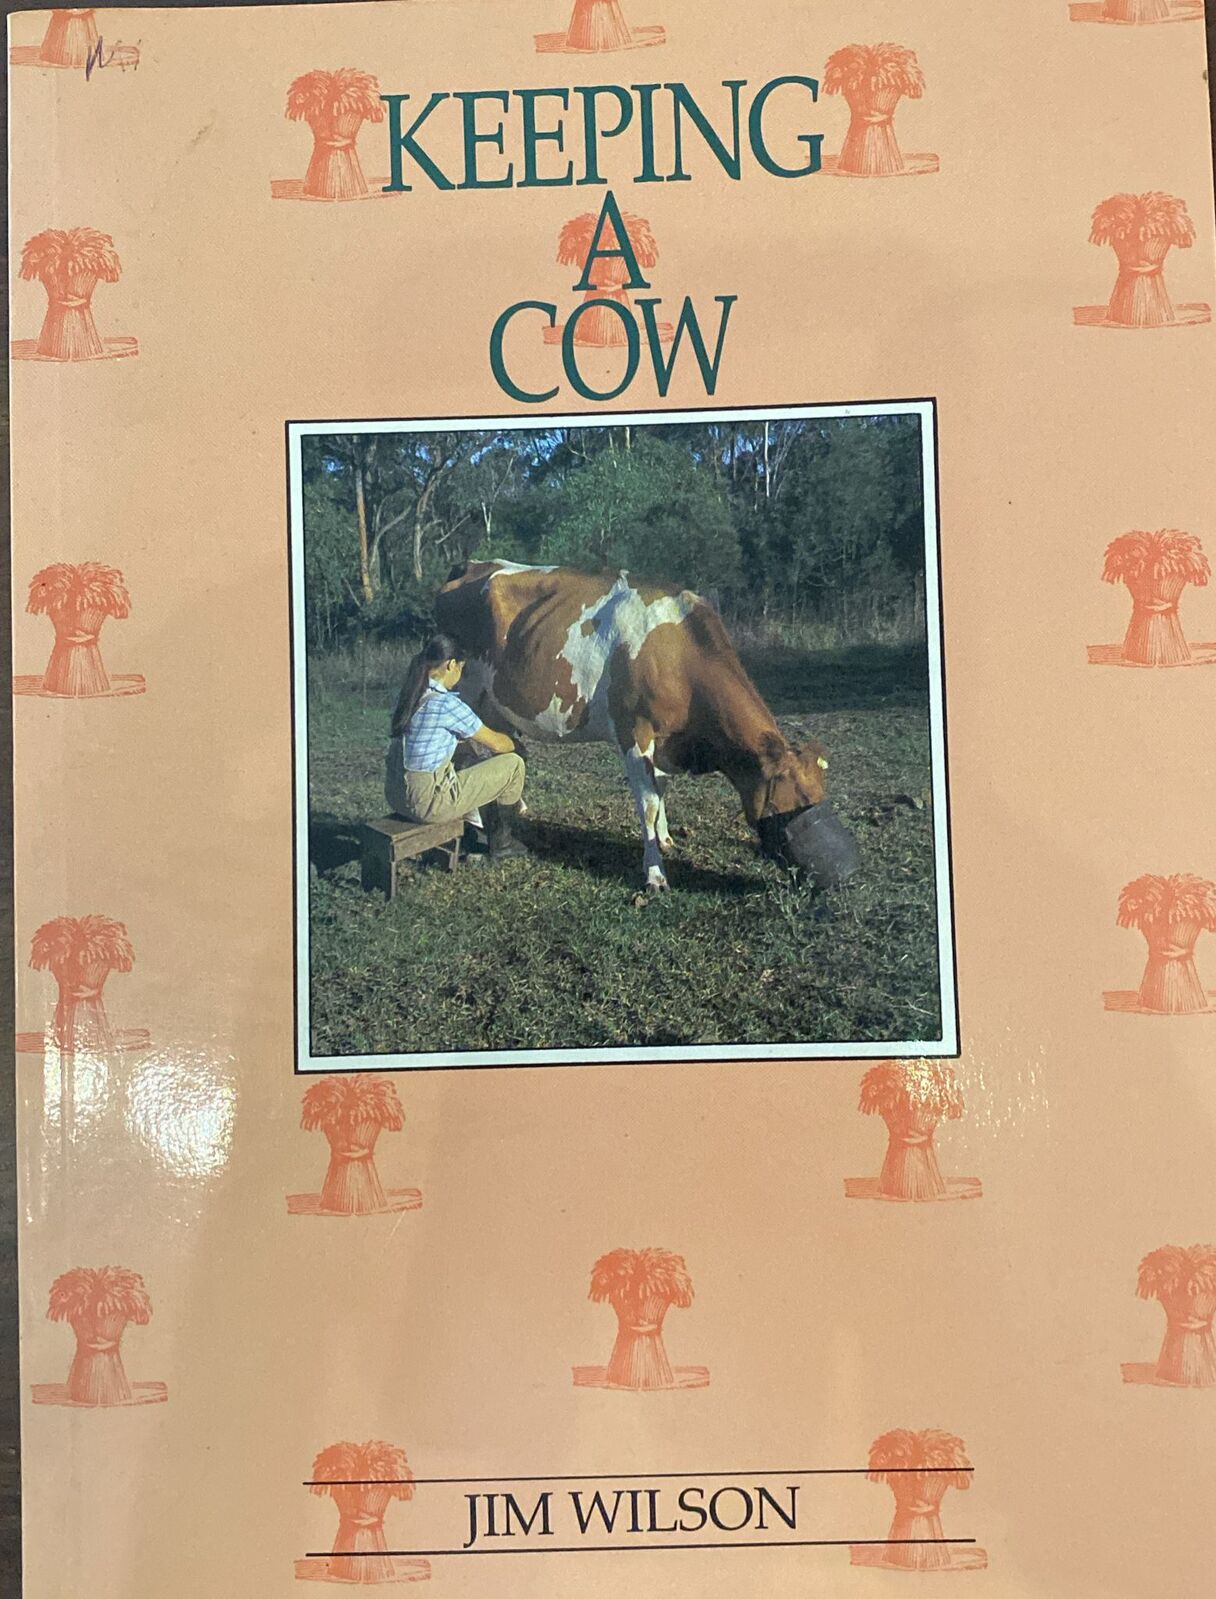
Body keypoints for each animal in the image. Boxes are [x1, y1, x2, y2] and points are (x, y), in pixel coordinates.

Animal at [434, 561, 860, 892]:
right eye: (796, 803)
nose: (845, 875)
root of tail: (474, 565)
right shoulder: (633, 732)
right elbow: (648, 803)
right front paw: (655, 875)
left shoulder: (663, 740)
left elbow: (661, 790)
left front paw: (668, 838)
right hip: (463, 693)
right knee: (459, 754)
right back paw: (474, 824)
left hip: (496, 705)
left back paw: (517, 807)